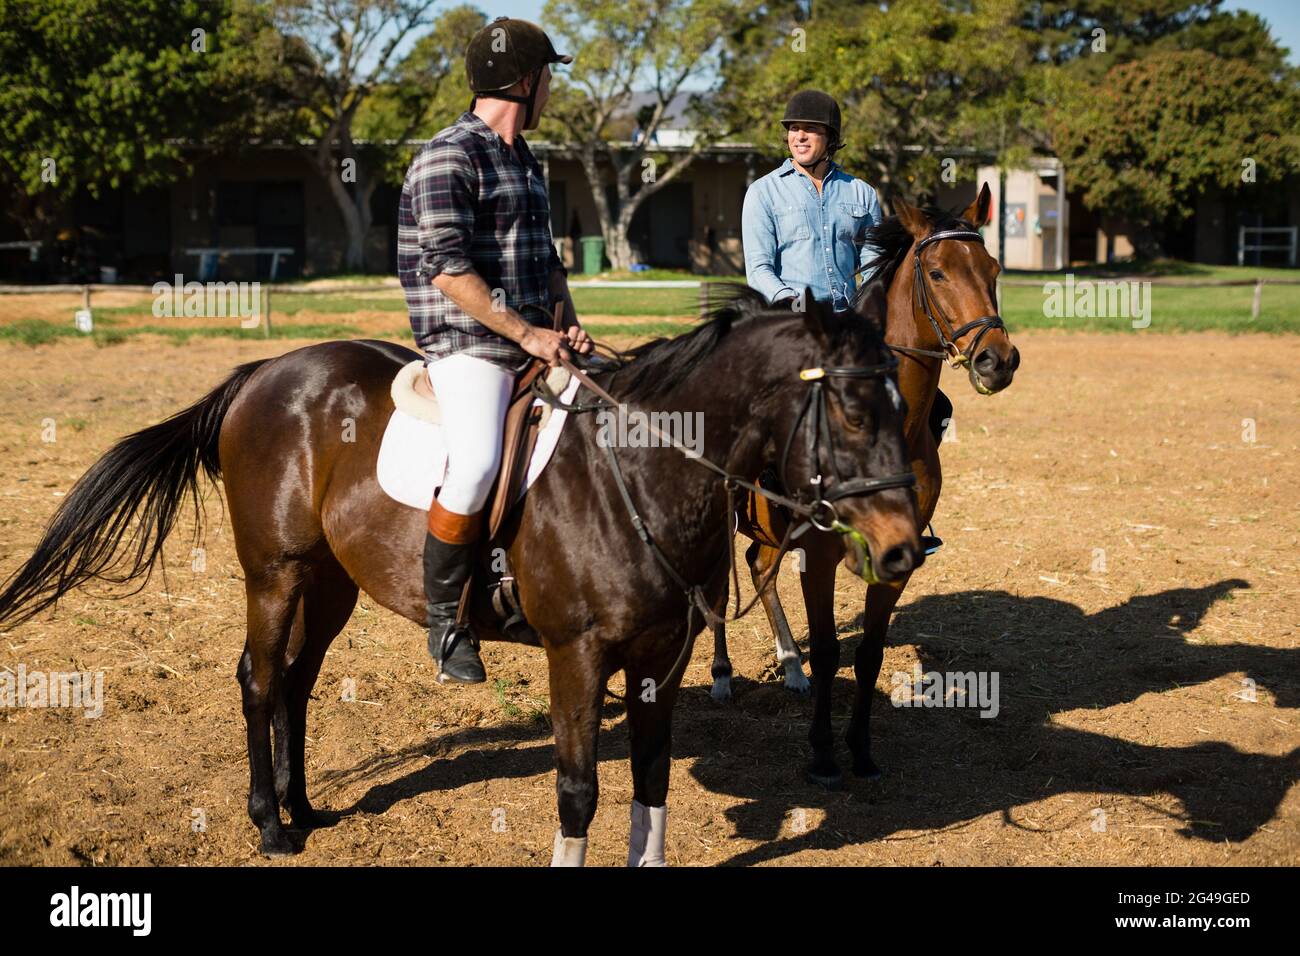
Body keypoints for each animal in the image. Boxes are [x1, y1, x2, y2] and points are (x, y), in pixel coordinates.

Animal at [0, 280, 924, 864]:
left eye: (905, 406)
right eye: (851, 408)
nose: (905, 548)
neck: (643, 471)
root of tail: (263, 374)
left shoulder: (662, 659)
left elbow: (652, 786)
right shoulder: (577, 659)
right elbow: (579, 792)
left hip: (331, 585)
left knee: (297, 682)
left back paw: (305, 808)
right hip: (275, 574)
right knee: (260, 682)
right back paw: (269, 825)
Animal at [709, 185, 1021, 787]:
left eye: (993, 269)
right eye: (938, 273)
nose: (997, 360)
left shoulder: (897, 559)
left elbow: (869, 655)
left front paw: (860, 750)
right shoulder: (818, 554)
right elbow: (832, 651)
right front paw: (823, 755)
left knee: (760, 567)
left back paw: (791, 668)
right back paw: (720, 676)